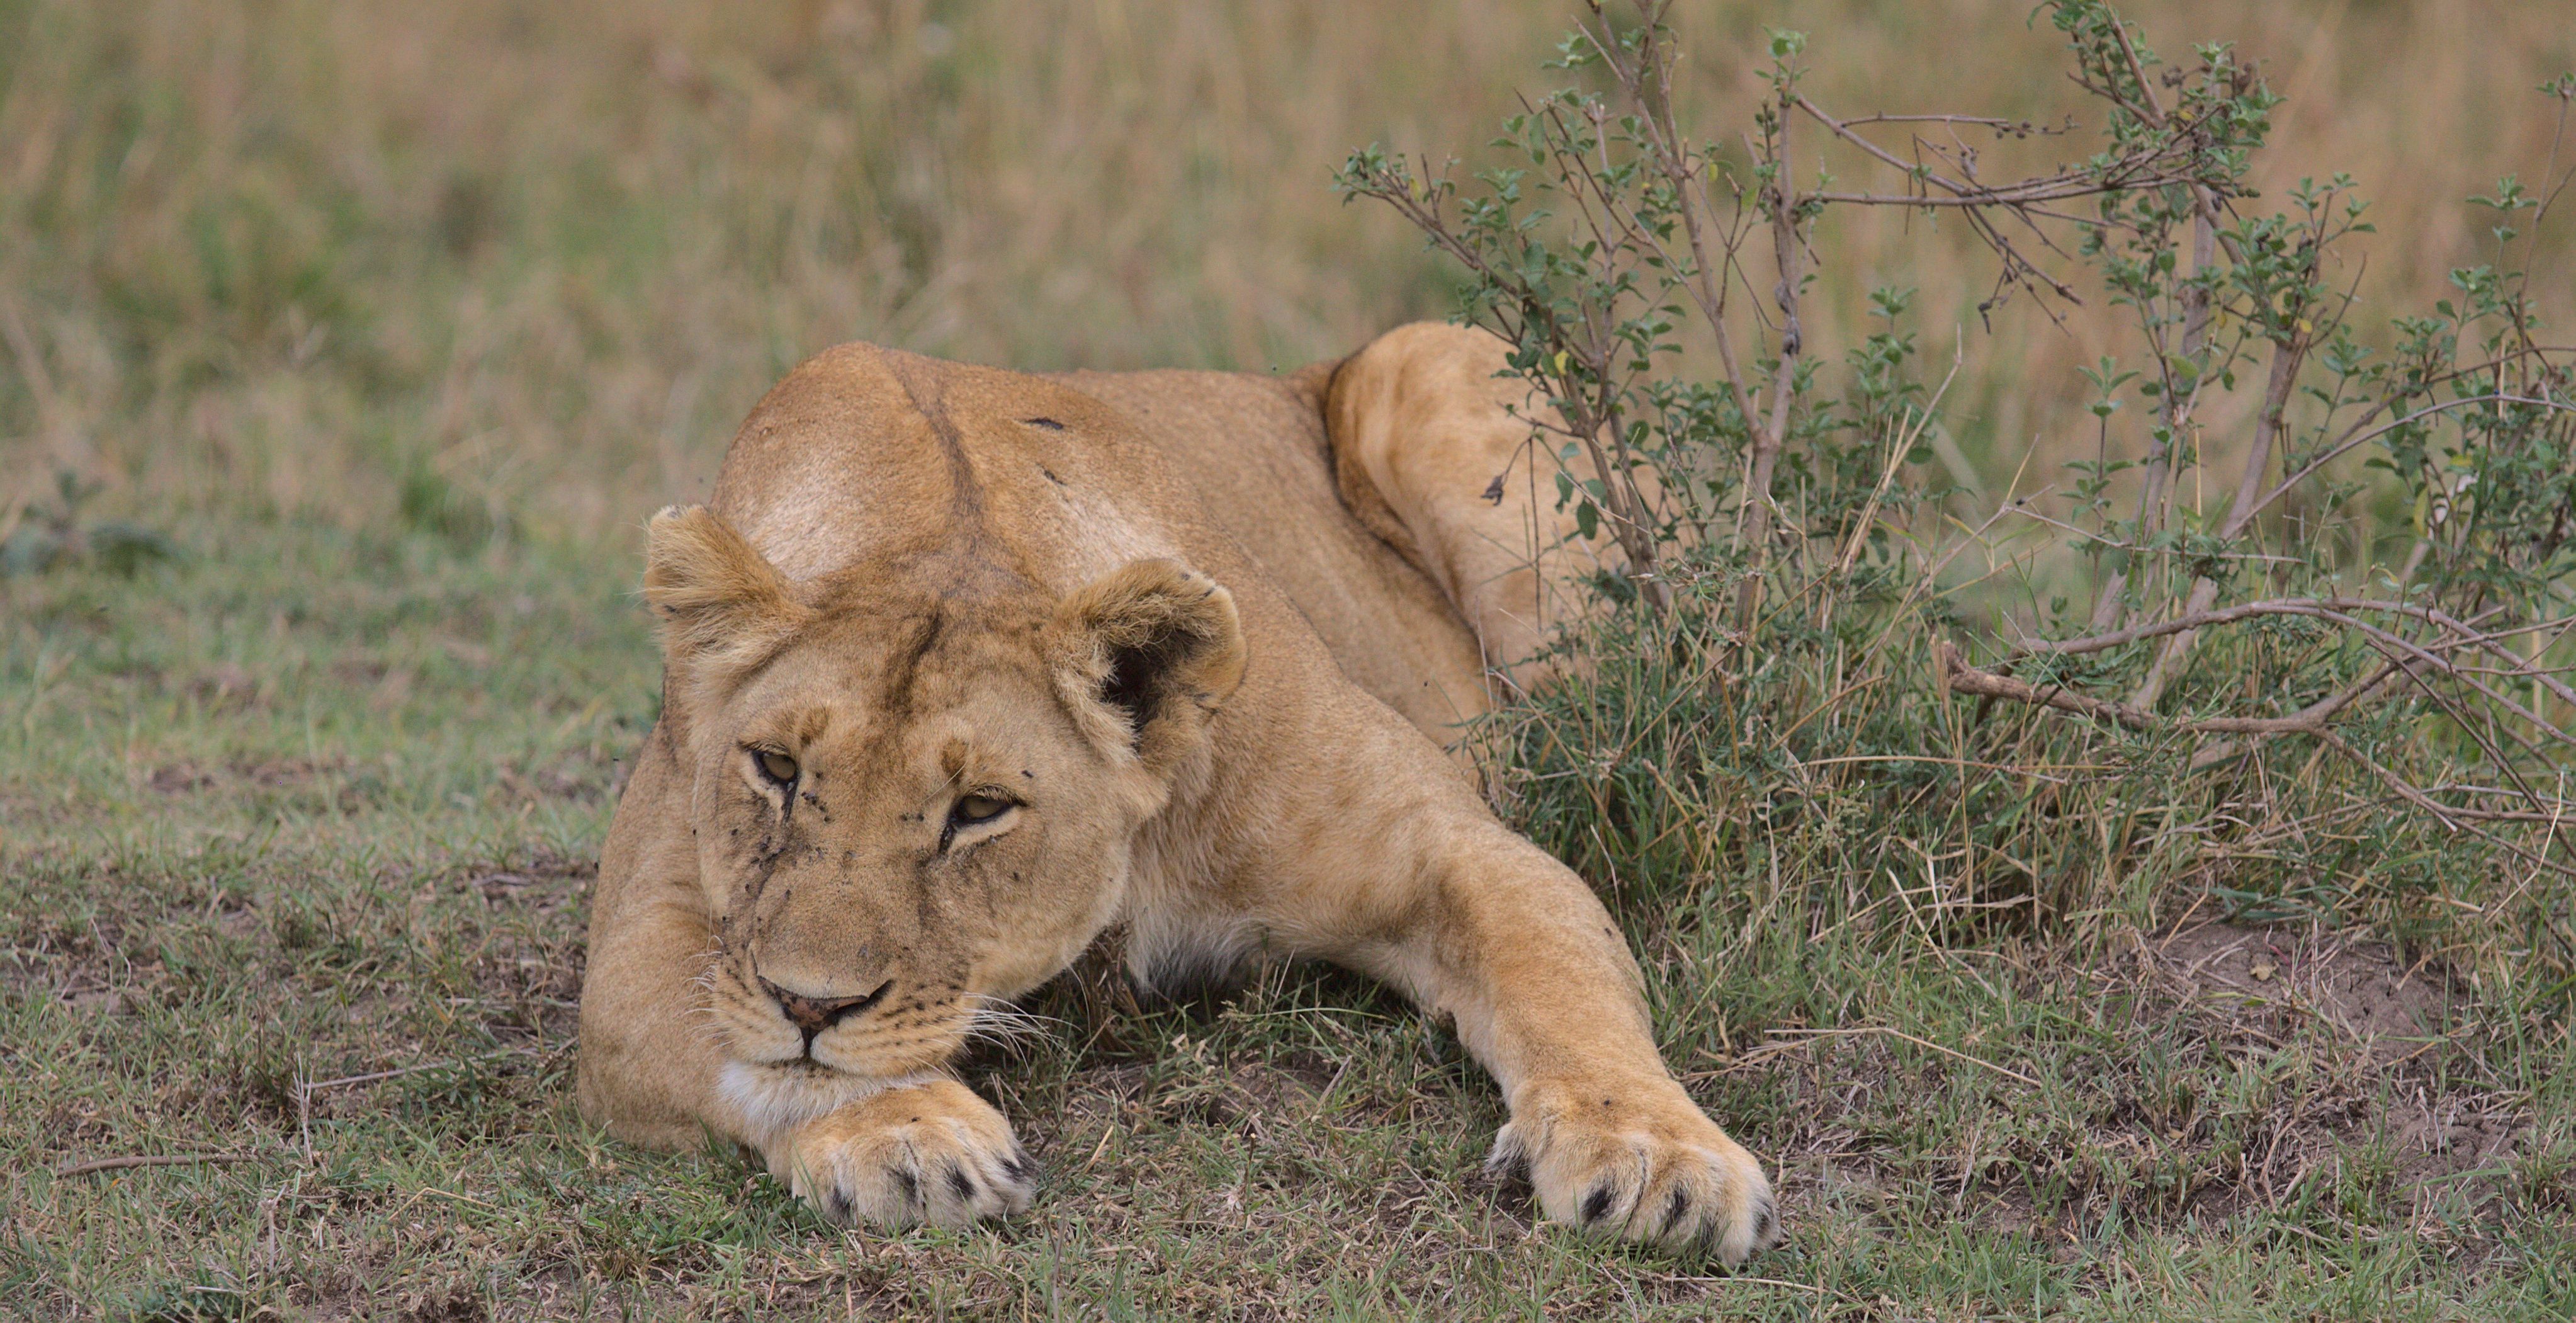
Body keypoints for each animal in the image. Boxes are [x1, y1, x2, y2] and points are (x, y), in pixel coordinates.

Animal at [574, 322, 1777, 1260]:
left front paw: (1659, 1161)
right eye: (776, 770)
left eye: (978, 810)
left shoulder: (1451, 845)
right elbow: (746, 1040)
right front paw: (904, 1134)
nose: (814, 1001)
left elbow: (1557, 978)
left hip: (1435, 360)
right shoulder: (645, 937)